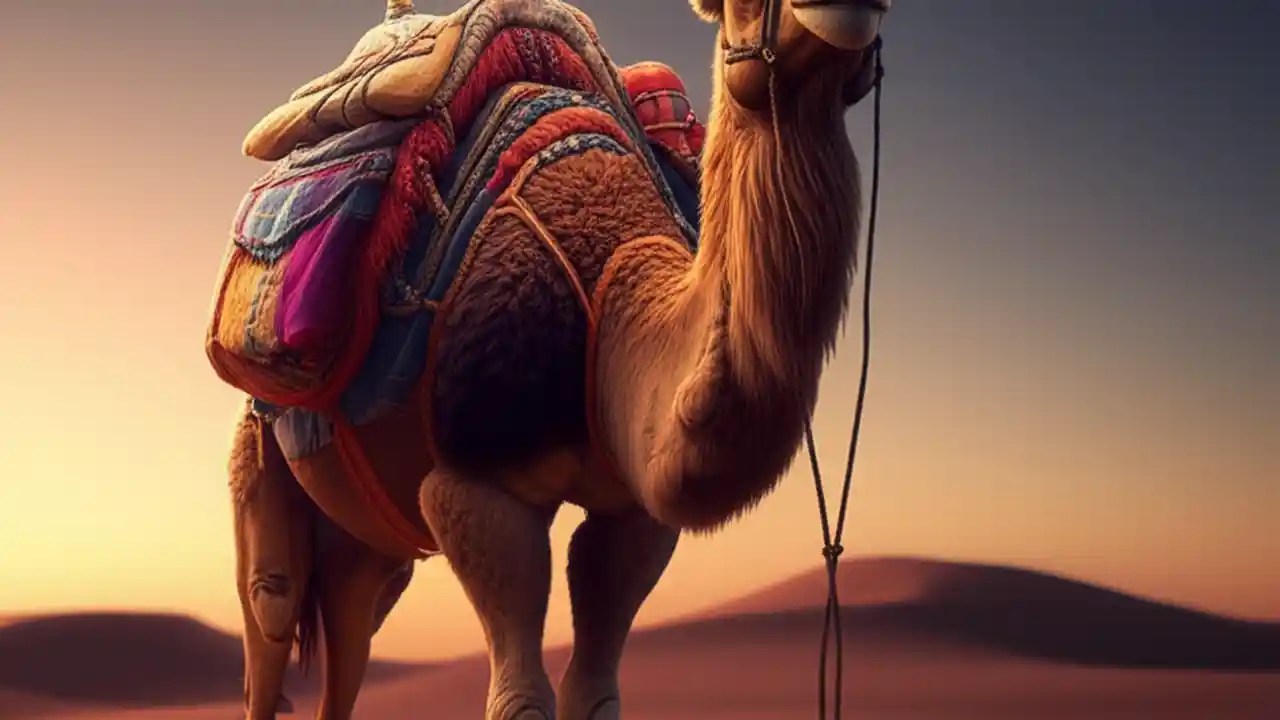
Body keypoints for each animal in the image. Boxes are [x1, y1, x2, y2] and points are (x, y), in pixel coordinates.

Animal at [222, 0, 889, 718]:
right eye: (739, 10)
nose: (849, 13)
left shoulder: (630, 506)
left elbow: (596, 689)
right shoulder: (472, 481)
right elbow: (521, 698)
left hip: (368, 535)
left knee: (356, 623)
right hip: (262, 437)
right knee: (272, 604)